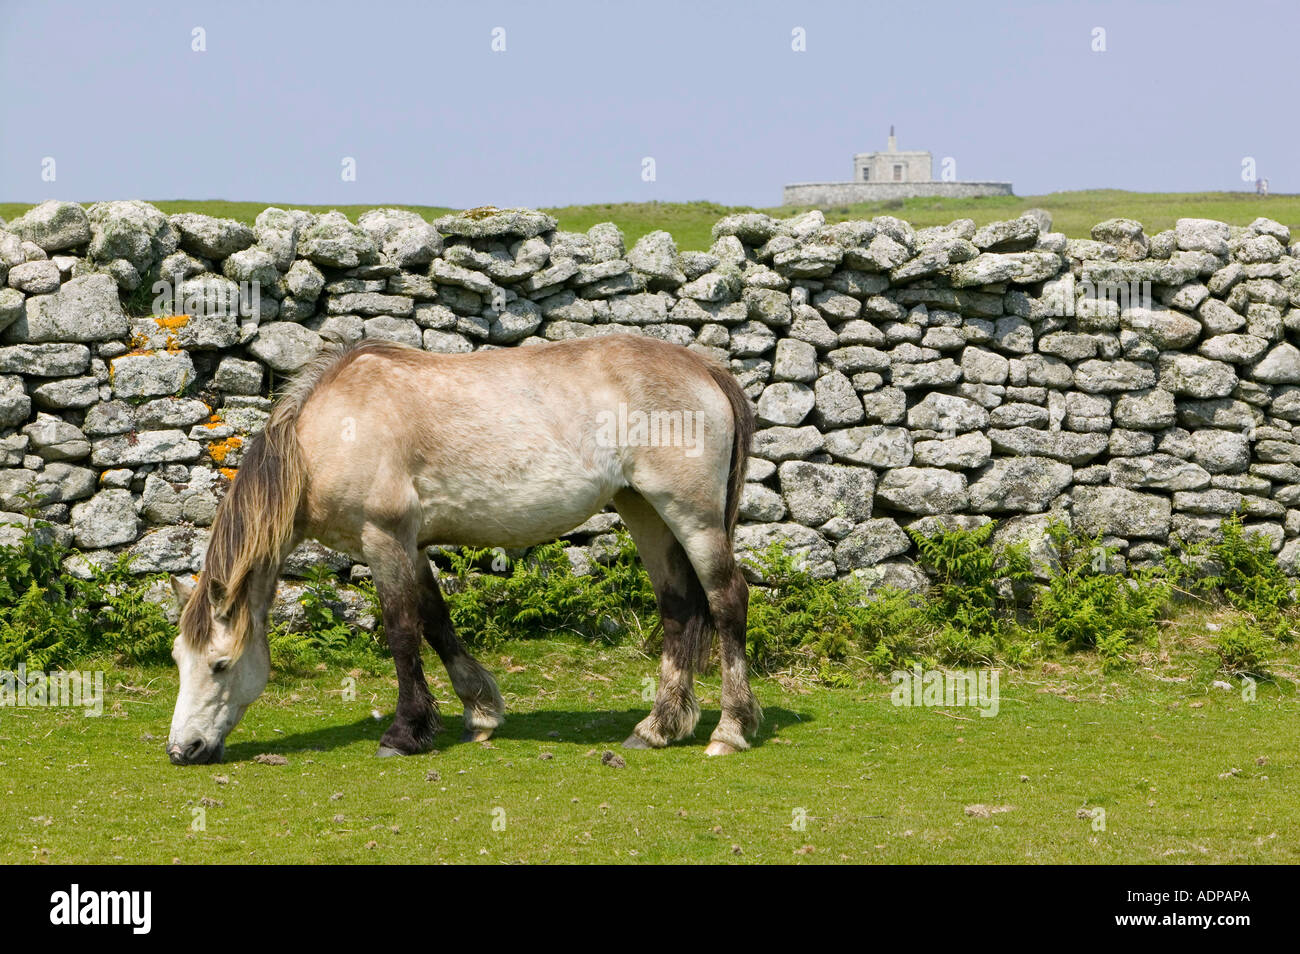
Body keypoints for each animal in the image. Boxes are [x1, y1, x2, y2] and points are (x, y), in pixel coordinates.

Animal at [167, 335, 759, 764]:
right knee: (678, 607)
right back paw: (658, 728)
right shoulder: (412, 544)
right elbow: (436, 621)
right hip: (644, 510)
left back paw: (729, 729)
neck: (330, 435)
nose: (182, 750)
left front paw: (404, 732)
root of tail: (703, 367)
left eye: (219, 665)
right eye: (179, 660)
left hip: (692, 515)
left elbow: (402, 631)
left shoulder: (384, 538)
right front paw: (482, 711)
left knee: (727, 599)